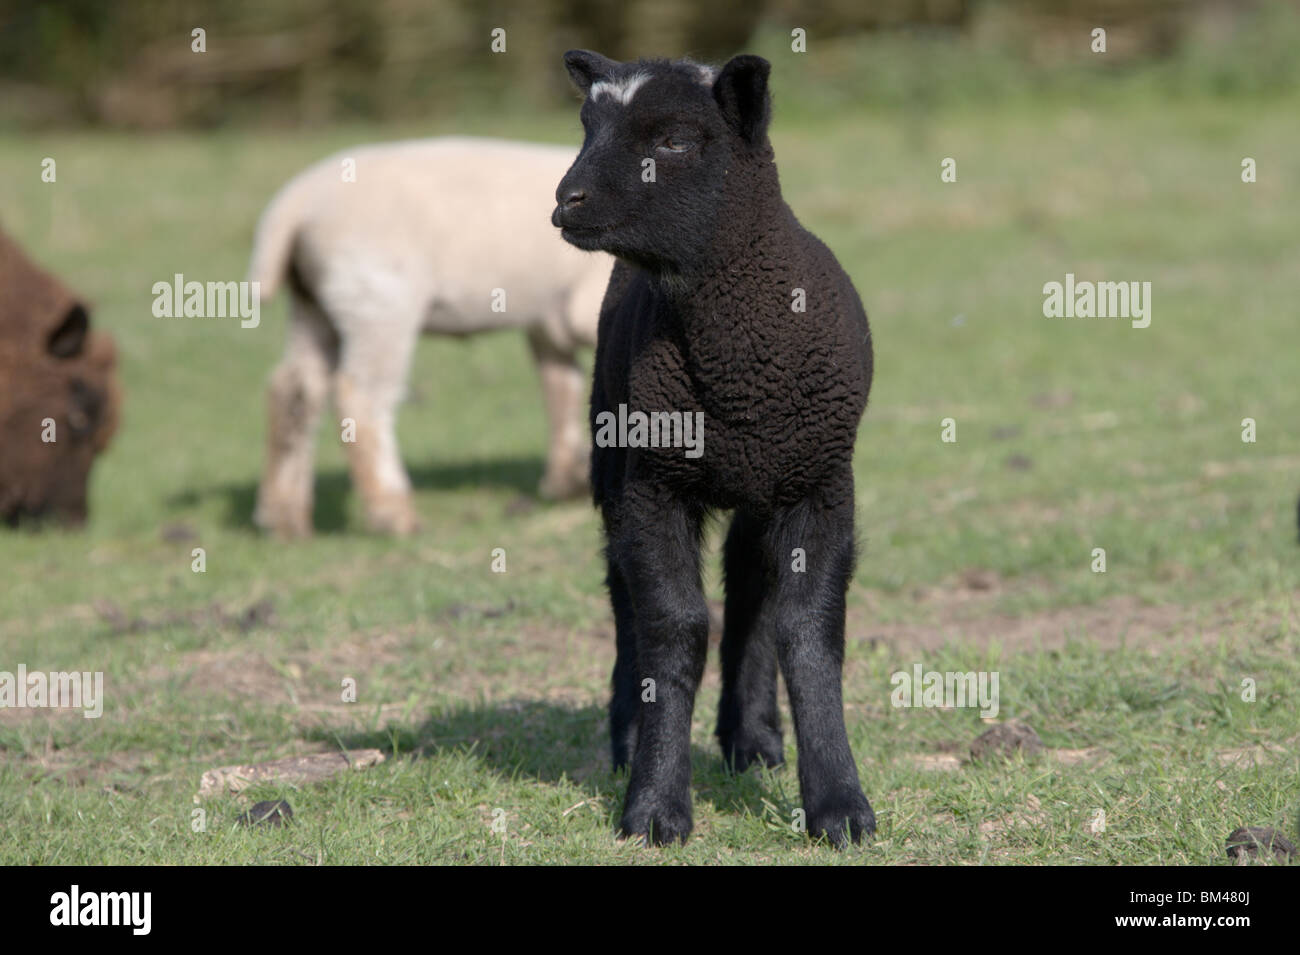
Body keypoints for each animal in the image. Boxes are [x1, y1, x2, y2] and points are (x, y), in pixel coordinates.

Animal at [249, 137, 614, 537]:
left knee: (294, 390)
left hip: (313, 304)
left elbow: (561, 387)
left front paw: (568, 481)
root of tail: (294, 206)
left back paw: (283, 517)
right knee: (361, 397)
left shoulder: (548, 319)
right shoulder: (582, 309)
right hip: (379, 300)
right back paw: (392, 513)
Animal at [554, 51, 876, 846]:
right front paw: (654, 804)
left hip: (765, 482)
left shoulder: (822, 483)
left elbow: (808, 629)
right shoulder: (654, 485)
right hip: (613, 460)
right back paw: (629, 737)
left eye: (673, 141)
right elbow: (674, 627)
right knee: (625, 597)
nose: (568, 200)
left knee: (752, 589)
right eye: (588, 127)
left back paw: (752, 739)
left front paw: (839, 804)